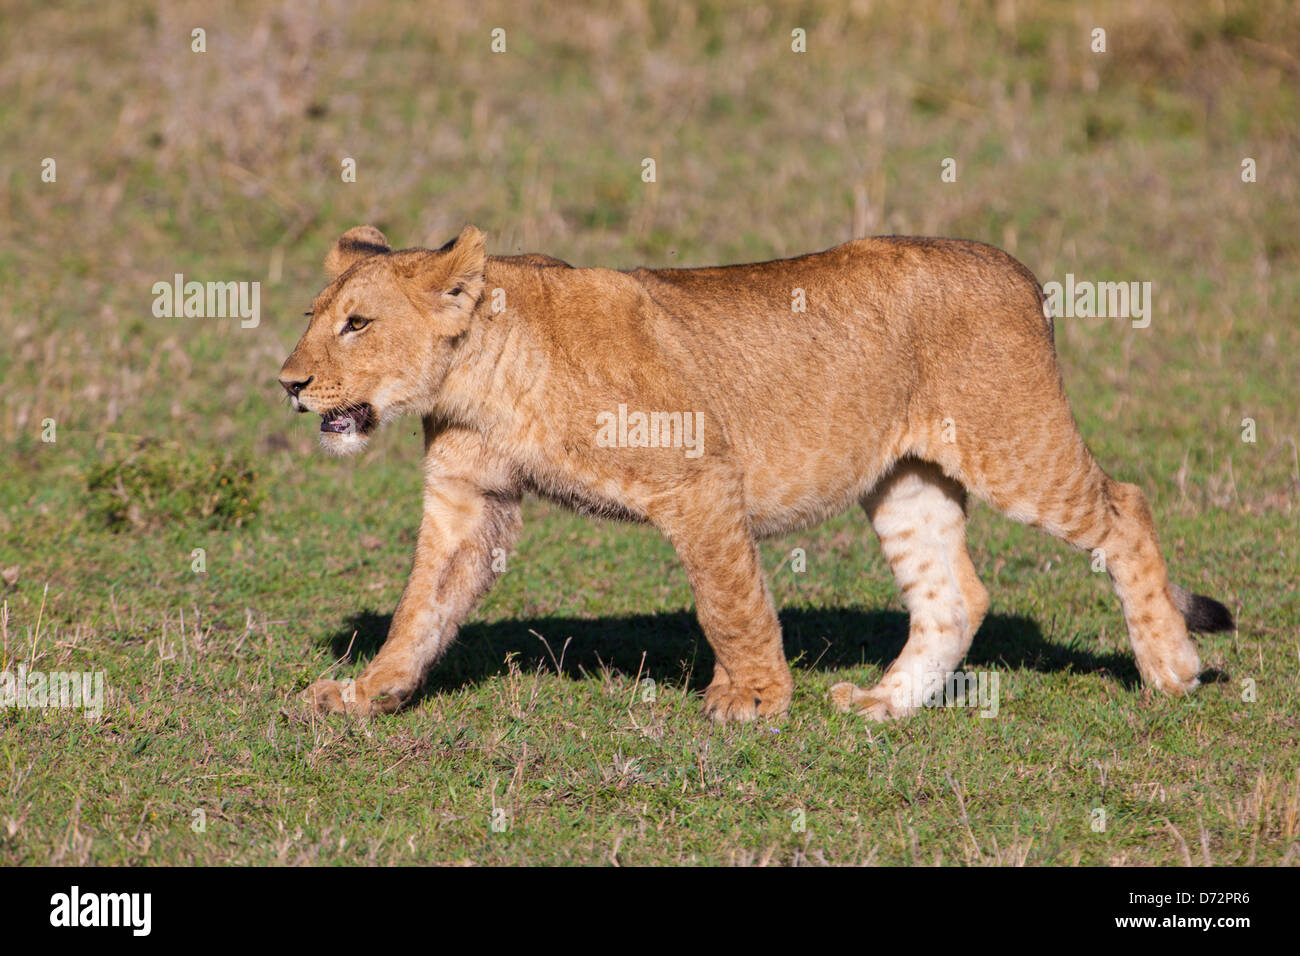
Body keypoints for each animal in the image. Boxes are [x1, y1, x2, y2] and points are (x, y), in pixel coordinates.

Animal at [279, 224, 1234, 722]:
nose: (287, 383)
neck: (482, 373)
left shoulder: (701, 480)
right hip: (907, 479)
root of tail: (1012, 266)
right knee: (954, 595)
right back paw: (882, 706)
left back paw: (1171, 671)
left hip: (1017, 445)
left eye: (358, 324)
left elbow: (728, 600)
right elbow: (421, 609)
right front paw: (365, 694)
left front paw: (754, 702)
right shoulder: (469, 500)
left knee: (1127, 509)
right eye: (316, 317)